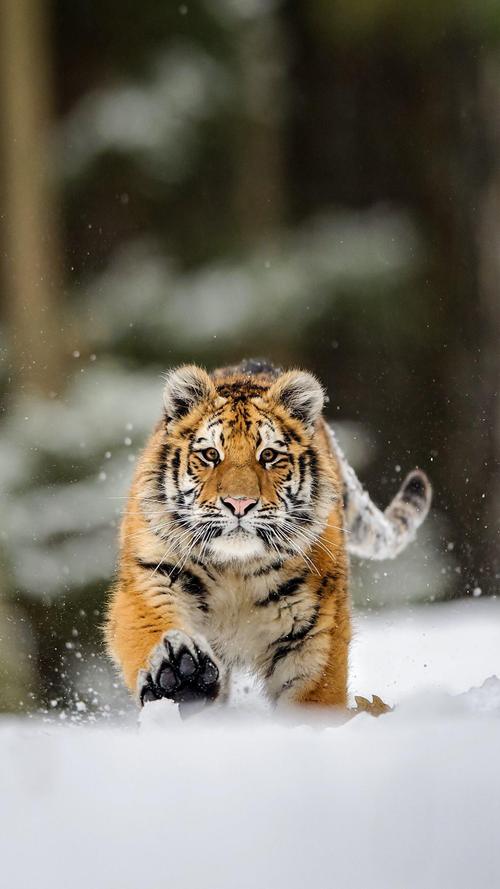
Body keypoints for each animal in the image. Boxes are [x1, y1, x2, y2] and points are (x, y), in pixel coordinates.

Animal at [104, 359, 432, 714]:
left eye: (269, 456)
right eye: (210, 455)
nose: (239, 503)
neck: (235, 571)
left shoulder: (314, 632)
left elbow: (314, 701)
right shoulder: (150, 575)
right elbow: (150, 624)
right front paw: (180, 674)